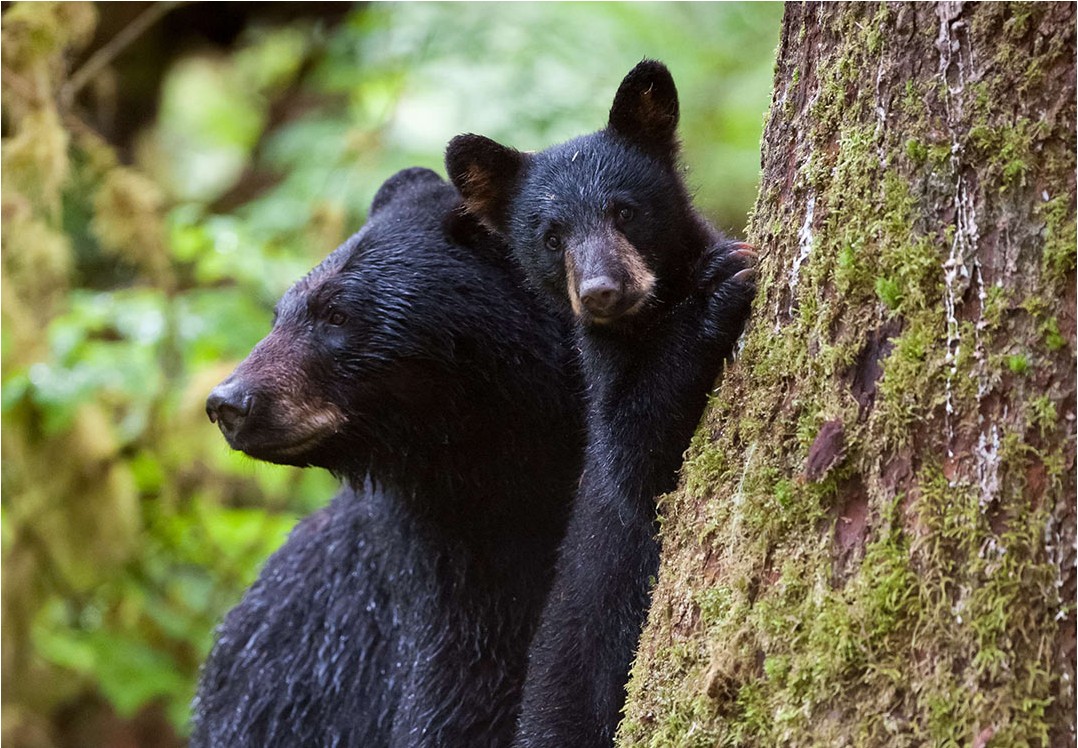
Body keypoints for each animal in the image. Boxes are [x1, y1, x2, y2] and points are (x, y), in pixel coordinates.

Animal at [445, 60, 756, 746]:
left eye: (625, 211)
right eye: (550, 235)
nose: (601, 291)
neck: (644, 321)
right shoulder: (607, 389)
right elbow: (639, 464)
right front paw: (719, 287)